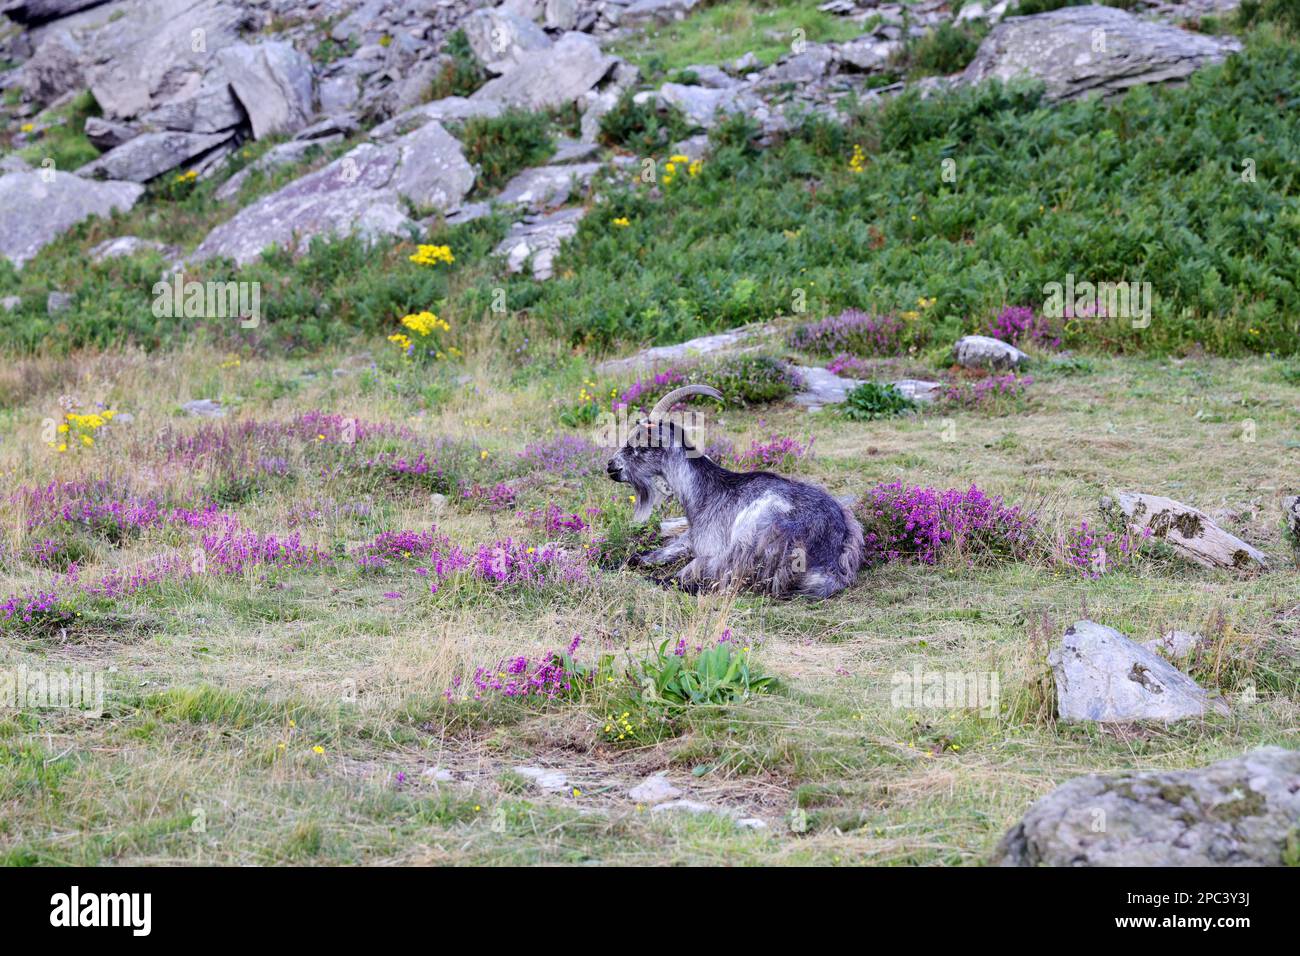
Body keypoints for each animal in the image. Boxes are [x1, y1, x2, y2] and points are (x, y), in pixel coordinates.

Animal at [606, 384, 864, 599]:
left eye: (642, 444)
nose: (611, 466)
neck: (706, 491)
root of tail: (830, 562)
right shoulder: (690, 539)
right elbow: (653, 553)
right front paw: (613, 560)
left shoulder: (712, 549)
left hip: (750, 541)